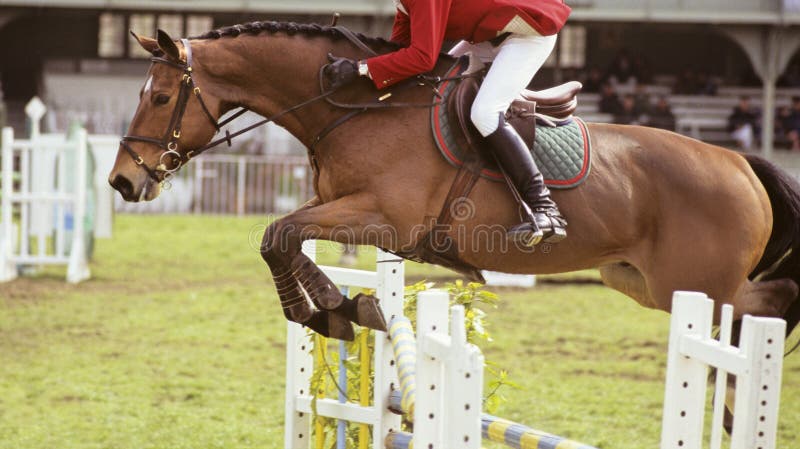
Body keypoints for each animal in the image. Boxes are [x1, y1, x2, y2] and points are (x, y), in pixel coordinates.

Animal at [108, 23, 799, 347]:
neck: (358, 107)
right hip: (648, 284)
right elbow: (282, 239)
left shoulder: (386, 219)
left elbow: (279, 234)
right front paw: (339, 309)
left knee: (764, 306)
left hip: (697, 286)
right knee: (767, 302)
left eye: (162, 97)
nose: (121, 181)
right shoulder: (337, 205)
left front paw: (331, 310)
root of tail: (741, 163)